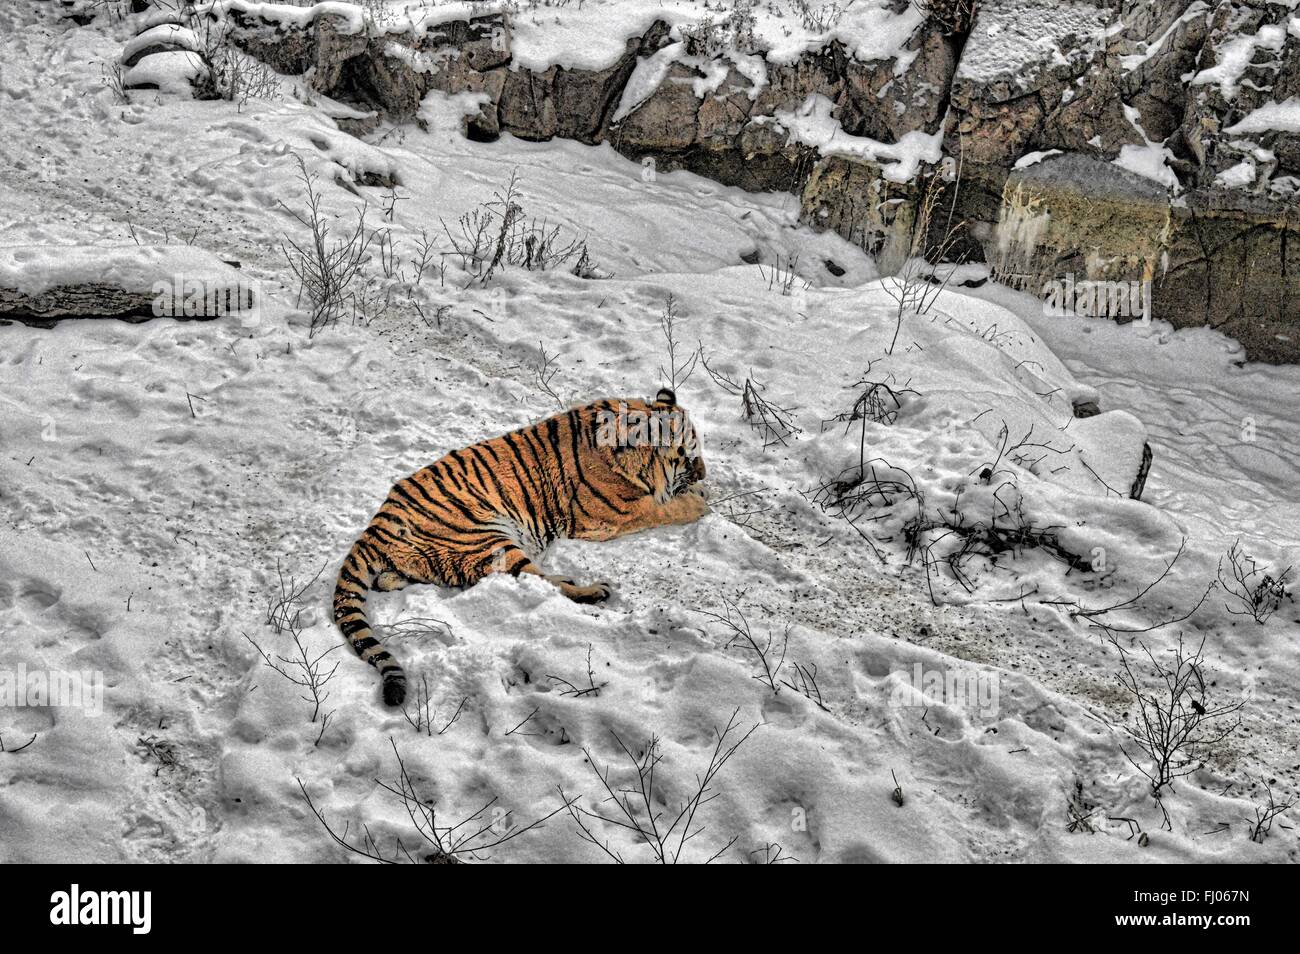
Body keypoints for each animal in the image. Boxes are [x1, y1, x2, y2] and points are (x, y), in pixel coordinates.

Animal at [332, 387, 708, 705]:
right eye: (688, 456)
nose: (703, 474)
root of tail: (377, 525)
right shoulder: (612, 514)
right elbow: (663, 509)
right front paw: (700, 500)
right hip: (490, 539)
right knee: (537, 581)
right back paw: (593, 589)